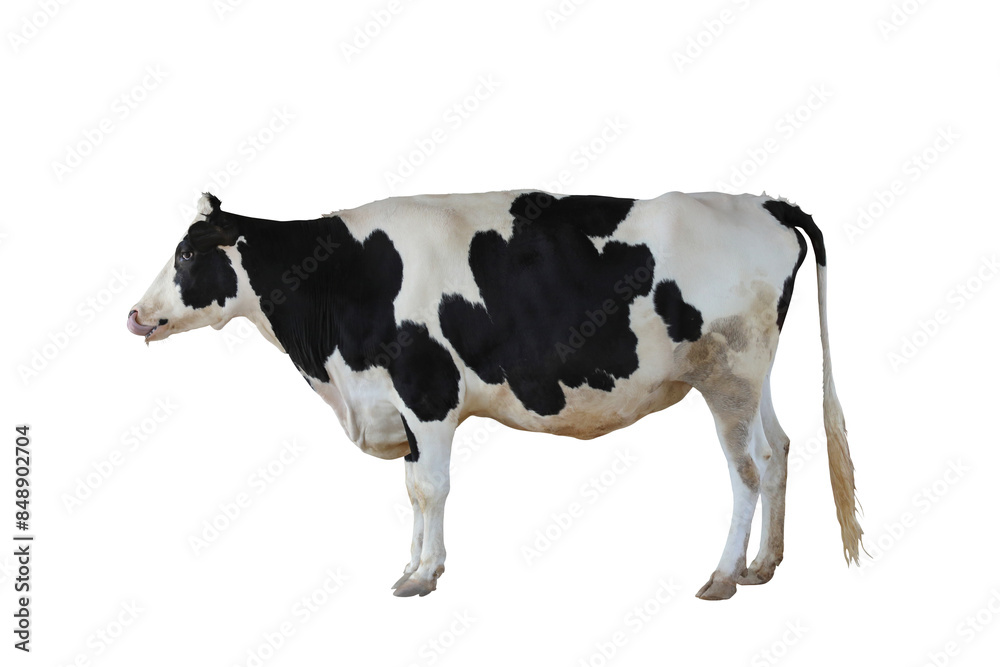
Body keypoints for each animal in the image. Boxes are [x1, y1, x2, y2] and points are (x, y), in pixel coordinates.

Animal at [128, 190, 862, 600]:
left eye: (188, 254)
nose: (135, 314)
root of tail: (760, 201)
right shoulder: (399, 406)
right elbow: (414, 490)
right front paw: (416, 562)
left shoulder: (426, 391)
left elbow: (430, 488)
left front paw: (422, 575)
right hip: (753, 374)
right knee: (776, 451)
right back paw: (764, 564)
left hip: (726, 376)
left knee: (746, 468)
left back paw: (724, 576)